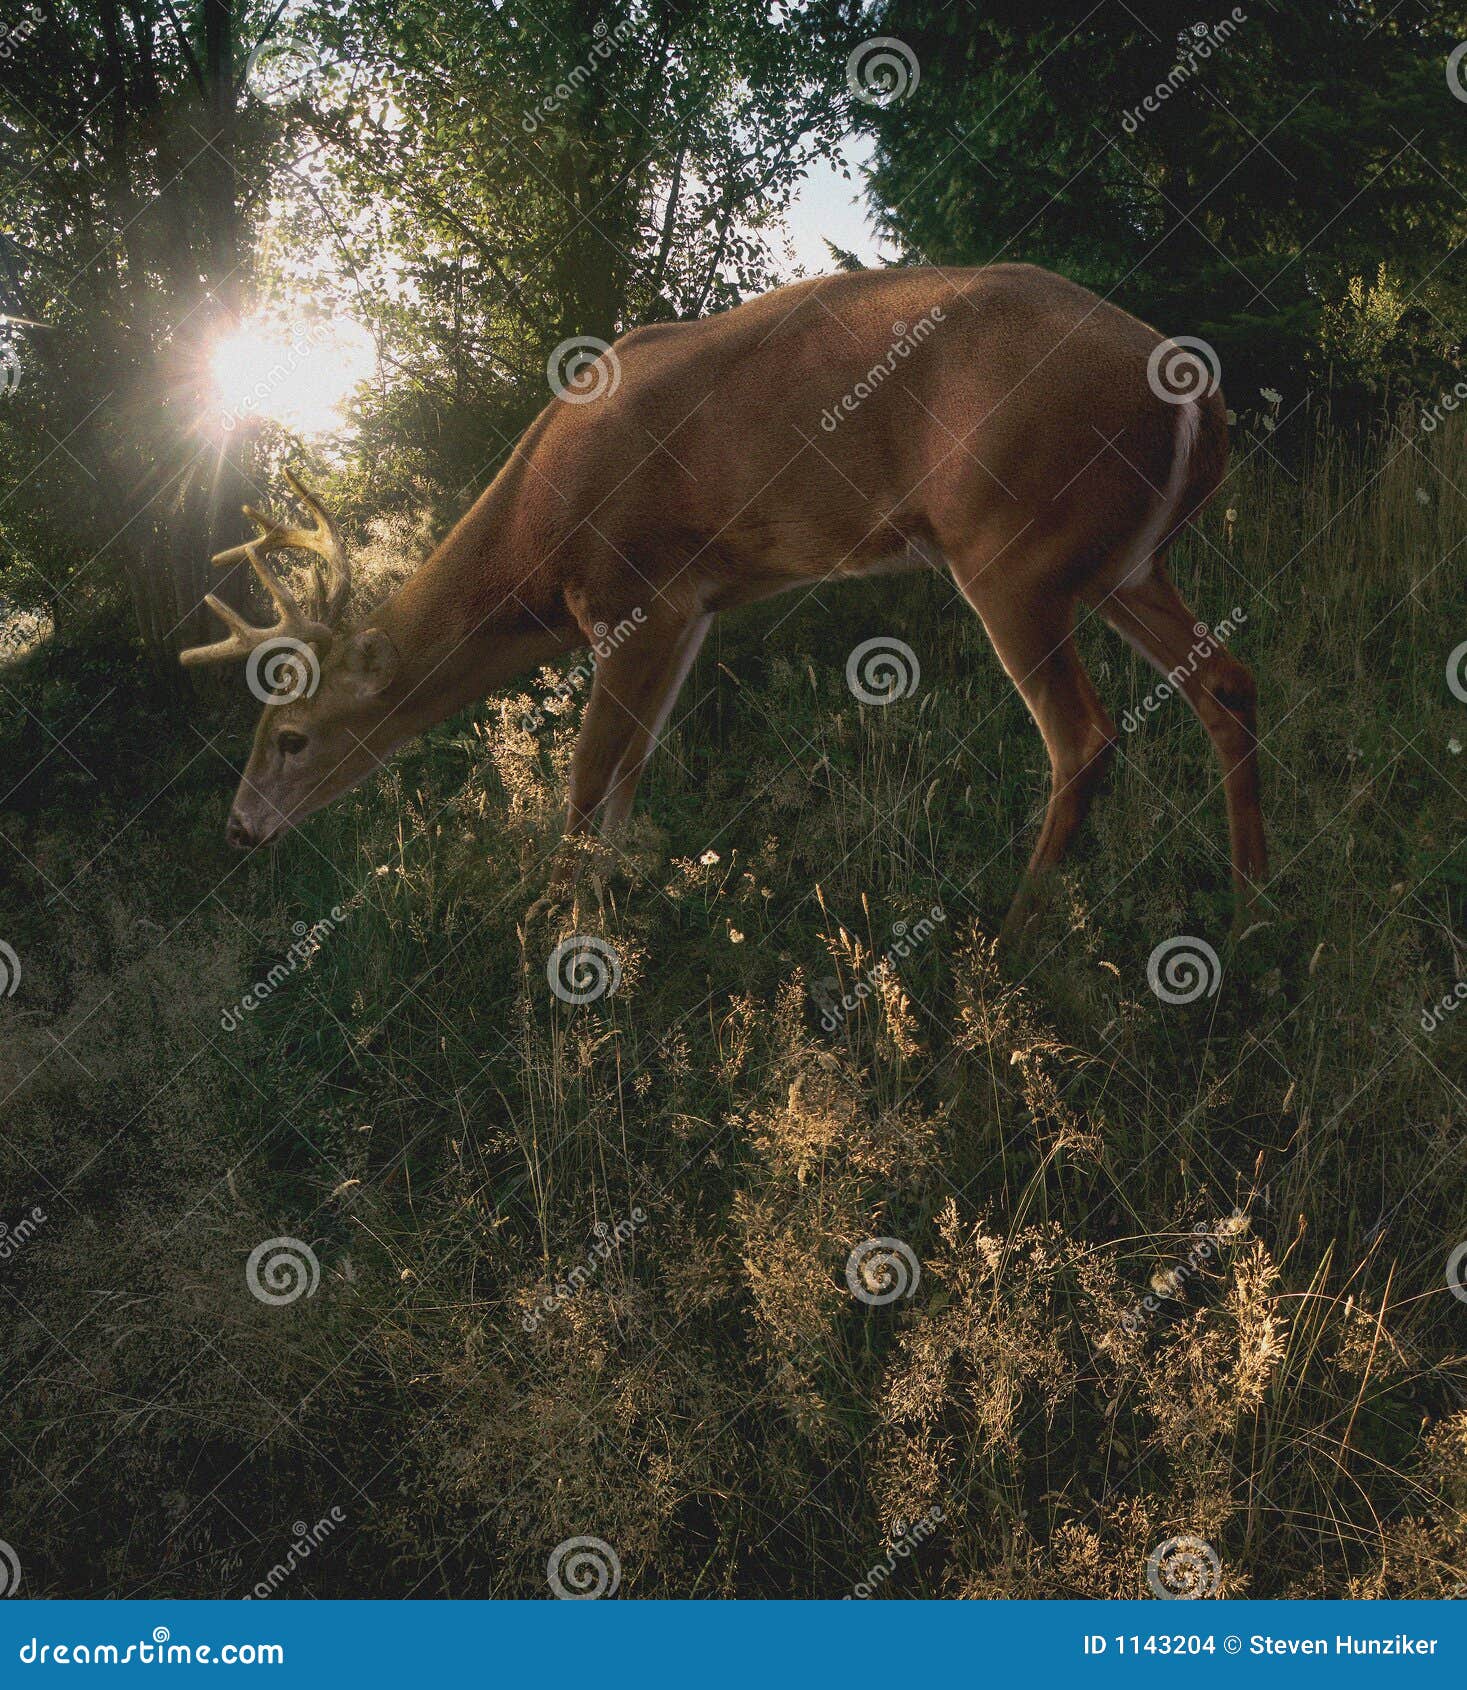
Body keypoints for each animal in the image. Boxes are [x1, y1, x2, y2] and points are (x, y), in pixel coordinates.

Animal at [182, 264, 1264, 943]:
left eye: (289, 735)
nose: (235, 831)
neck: (536, 531)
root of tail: (1197, 393)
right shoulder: (695, 605)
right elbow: (628, 779)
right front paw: (608, 920)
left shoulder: (632, 589)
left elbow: (587, 785)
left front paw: (551, 949)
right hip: (1119, 563)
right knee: (1227, 682)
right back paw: (1252, 906)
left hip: (1015, 548)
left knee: (1084, 734)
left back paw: (1014, 941)